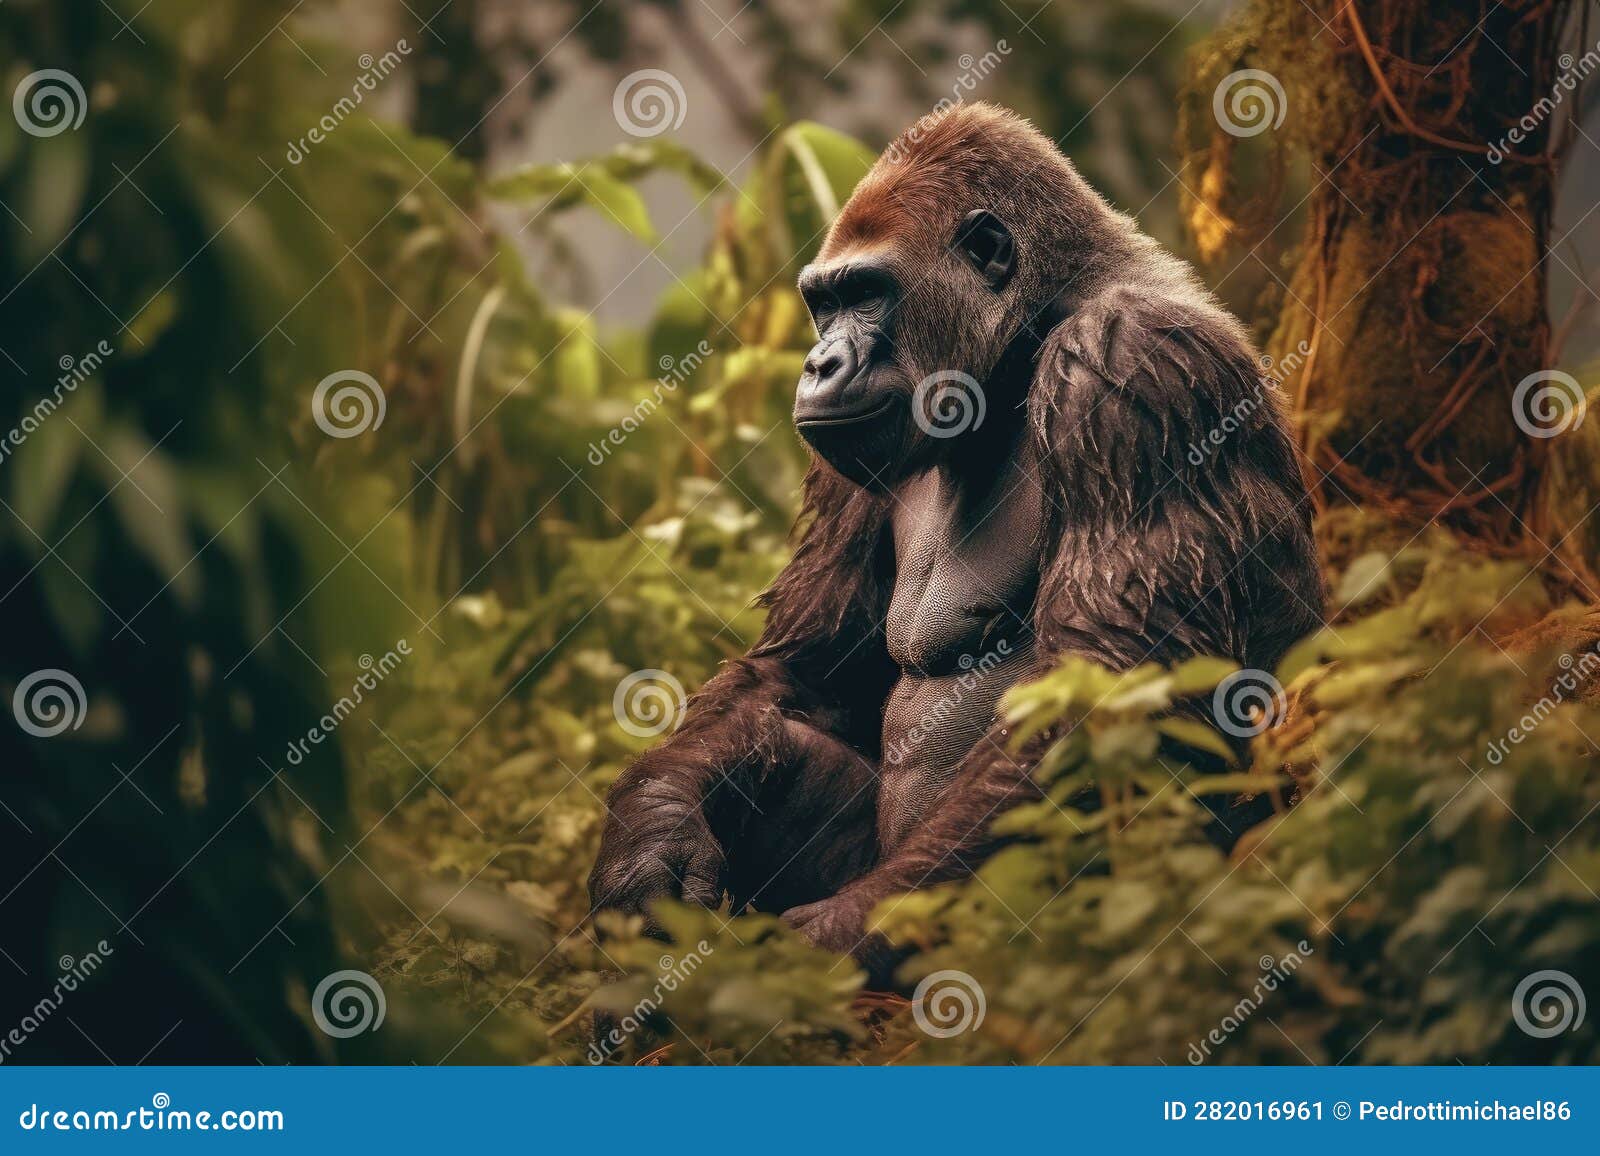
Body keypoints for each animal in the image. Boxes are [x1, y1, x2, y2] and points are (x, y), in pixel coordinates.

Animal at [588, 102, 1323, 976]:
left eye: (867, 293)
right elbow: (801, 671)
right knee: (770, 740)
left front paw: (823, 948)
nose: (818, 363)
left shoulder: (1133, 365)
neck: (1031, 335)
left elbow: (1111, 689)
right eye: (823, 303)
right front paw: (651, 834)